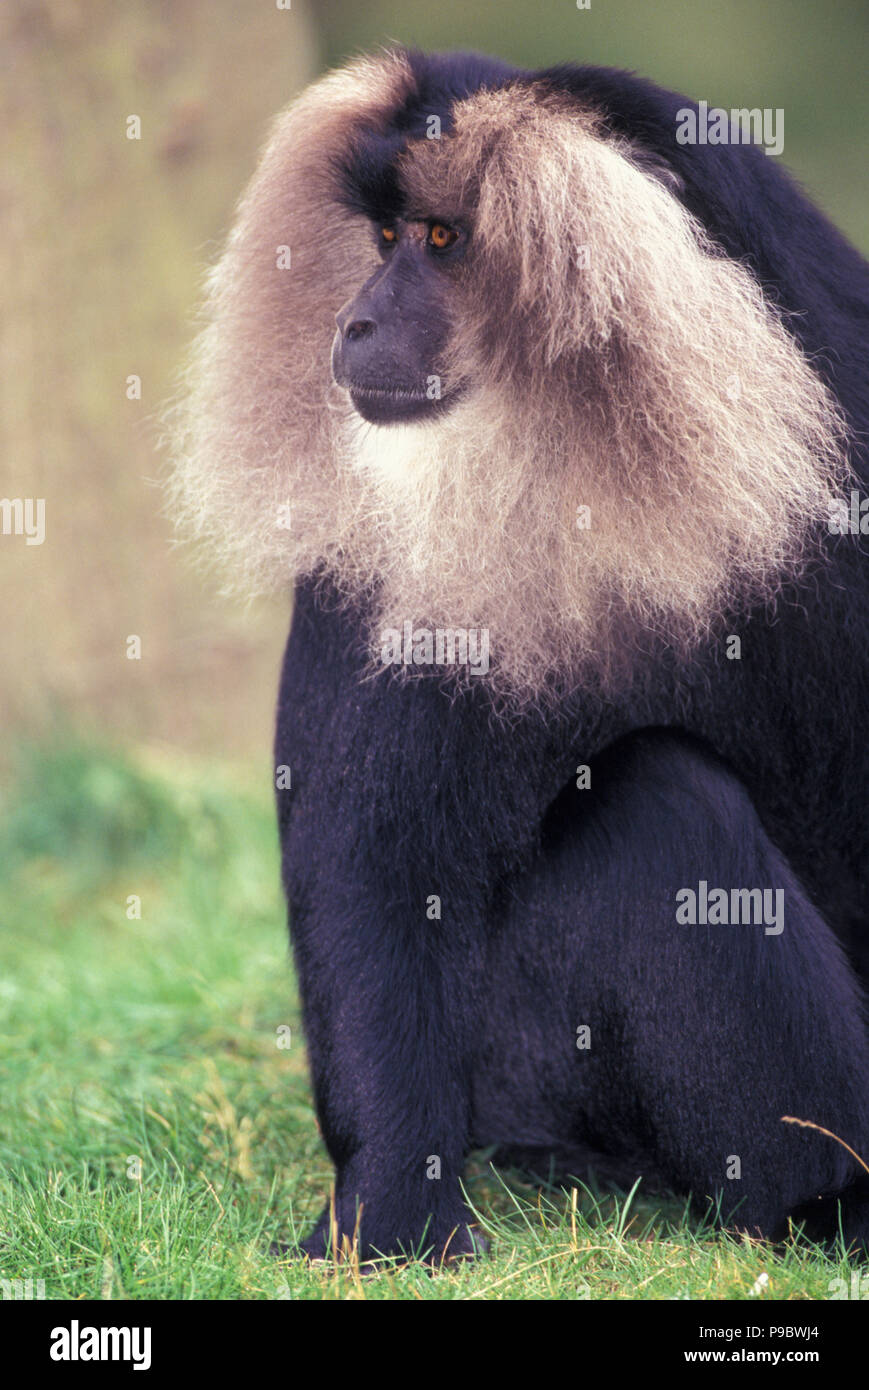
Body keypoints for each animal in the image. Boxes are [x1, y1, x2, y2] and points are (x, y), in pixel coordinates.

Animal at [168, 48, 869, 1263]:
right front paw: (392, 1213)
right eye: (383, 236)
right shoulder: (386, 551)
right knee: (655, 801)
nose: (353, 324)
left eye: (442, 240)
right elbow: (374, 864)